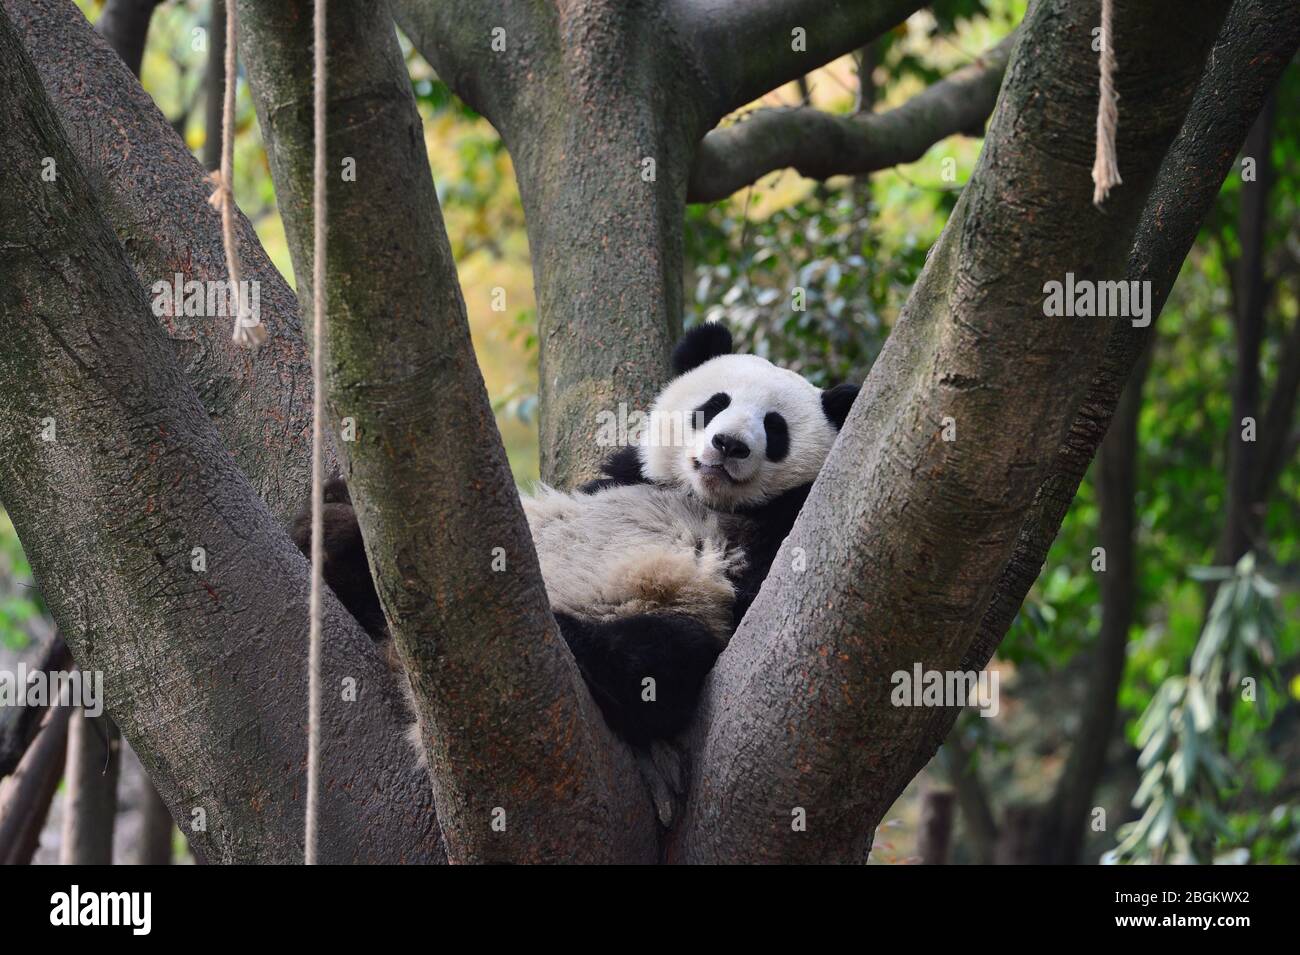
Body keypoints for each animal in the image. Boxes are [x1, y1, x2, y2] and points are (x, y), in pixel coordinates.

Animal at [292, 324, 858, 746]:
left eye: (775, 428)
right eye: (714, 405)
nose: (728, 444)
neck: (705, 498)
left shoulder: (782, 527)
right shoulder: (625, 477)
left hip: (666, 609)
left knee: (661, 659)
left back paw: (566, 638)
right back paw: (330, 534)